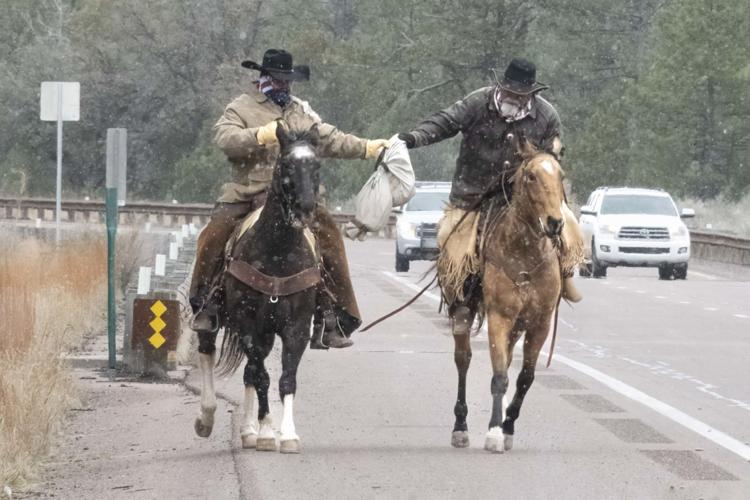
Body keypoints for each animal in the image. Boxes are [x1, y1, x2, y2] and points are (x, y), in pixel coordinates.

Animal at [193, 122, 323, 454]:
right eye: (286, 164)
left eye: (316, 165)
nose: (305, 209)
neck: (278, 252)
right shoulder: (248, 325)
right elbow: (263, 376)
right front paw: (267, 433)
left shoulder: (296, 328)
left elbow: (286, 378)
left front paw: (286, 434)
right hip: (208, 315)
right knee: (208, 352)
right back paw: (208, 417)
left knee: (249, 372)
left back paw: (248, 430)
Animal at [448, 140, 573, 453]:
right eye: (531, 176)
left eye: (560, 175)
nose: (555, 223)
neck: (525, 253)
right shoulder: (499, 317)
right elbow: (500, 376)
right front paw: (494, 431)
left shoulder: (540, 322)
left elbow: (525, 377)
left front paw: (508, 427)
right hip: (464, 310)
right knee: (463, 359)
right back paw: (460, 426)